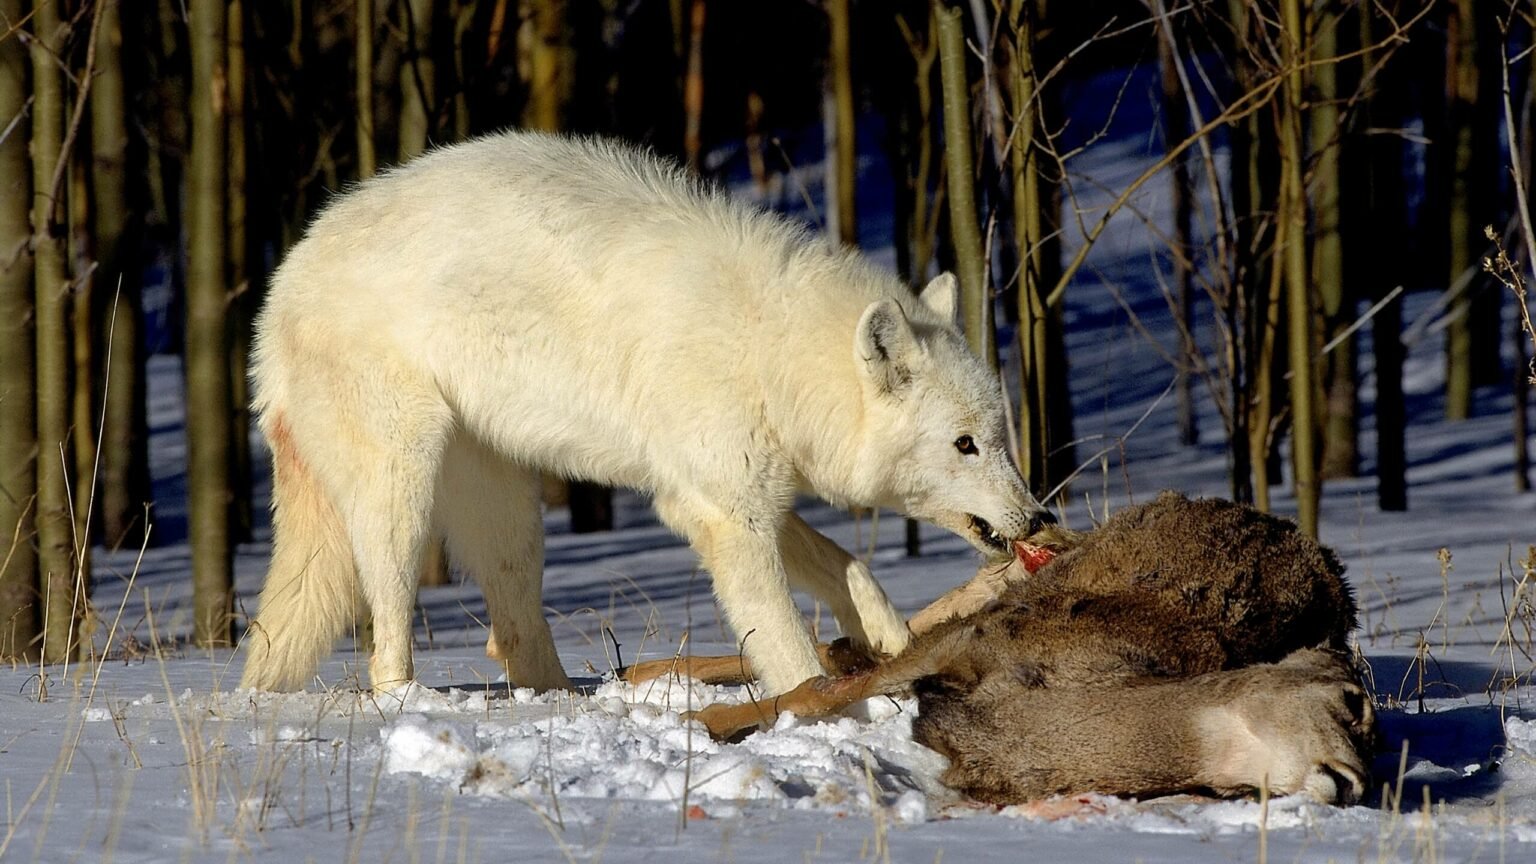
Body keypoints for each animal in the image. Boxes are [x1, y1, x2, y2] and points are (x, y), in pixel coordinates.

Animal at [239, 132, 1050, 697]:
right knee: (389, 634)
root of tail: (280, 290)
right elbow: (786, 642)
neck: (767, 347)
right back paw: (408, 699)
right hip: (402, 495)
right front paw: (820, 706)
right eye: (966, 445)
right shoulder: (728, 512)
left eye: (998, 438)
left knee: (516, 635)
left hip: (509, 516)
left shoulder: (721, 495)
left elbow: (850, 567)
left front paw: (887, 640)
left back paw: (563, 701)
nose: (1038, 517)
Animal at [627, 493, 1376, 805]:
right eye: (1351, 704)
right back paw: (638, 681)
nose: (1356, 781)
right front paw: (694, 721)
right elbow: (822, 690)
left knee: (850, 648)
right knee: (852, 655)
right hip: (994, 597)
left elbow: (838, 677)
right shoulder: (982, 633)